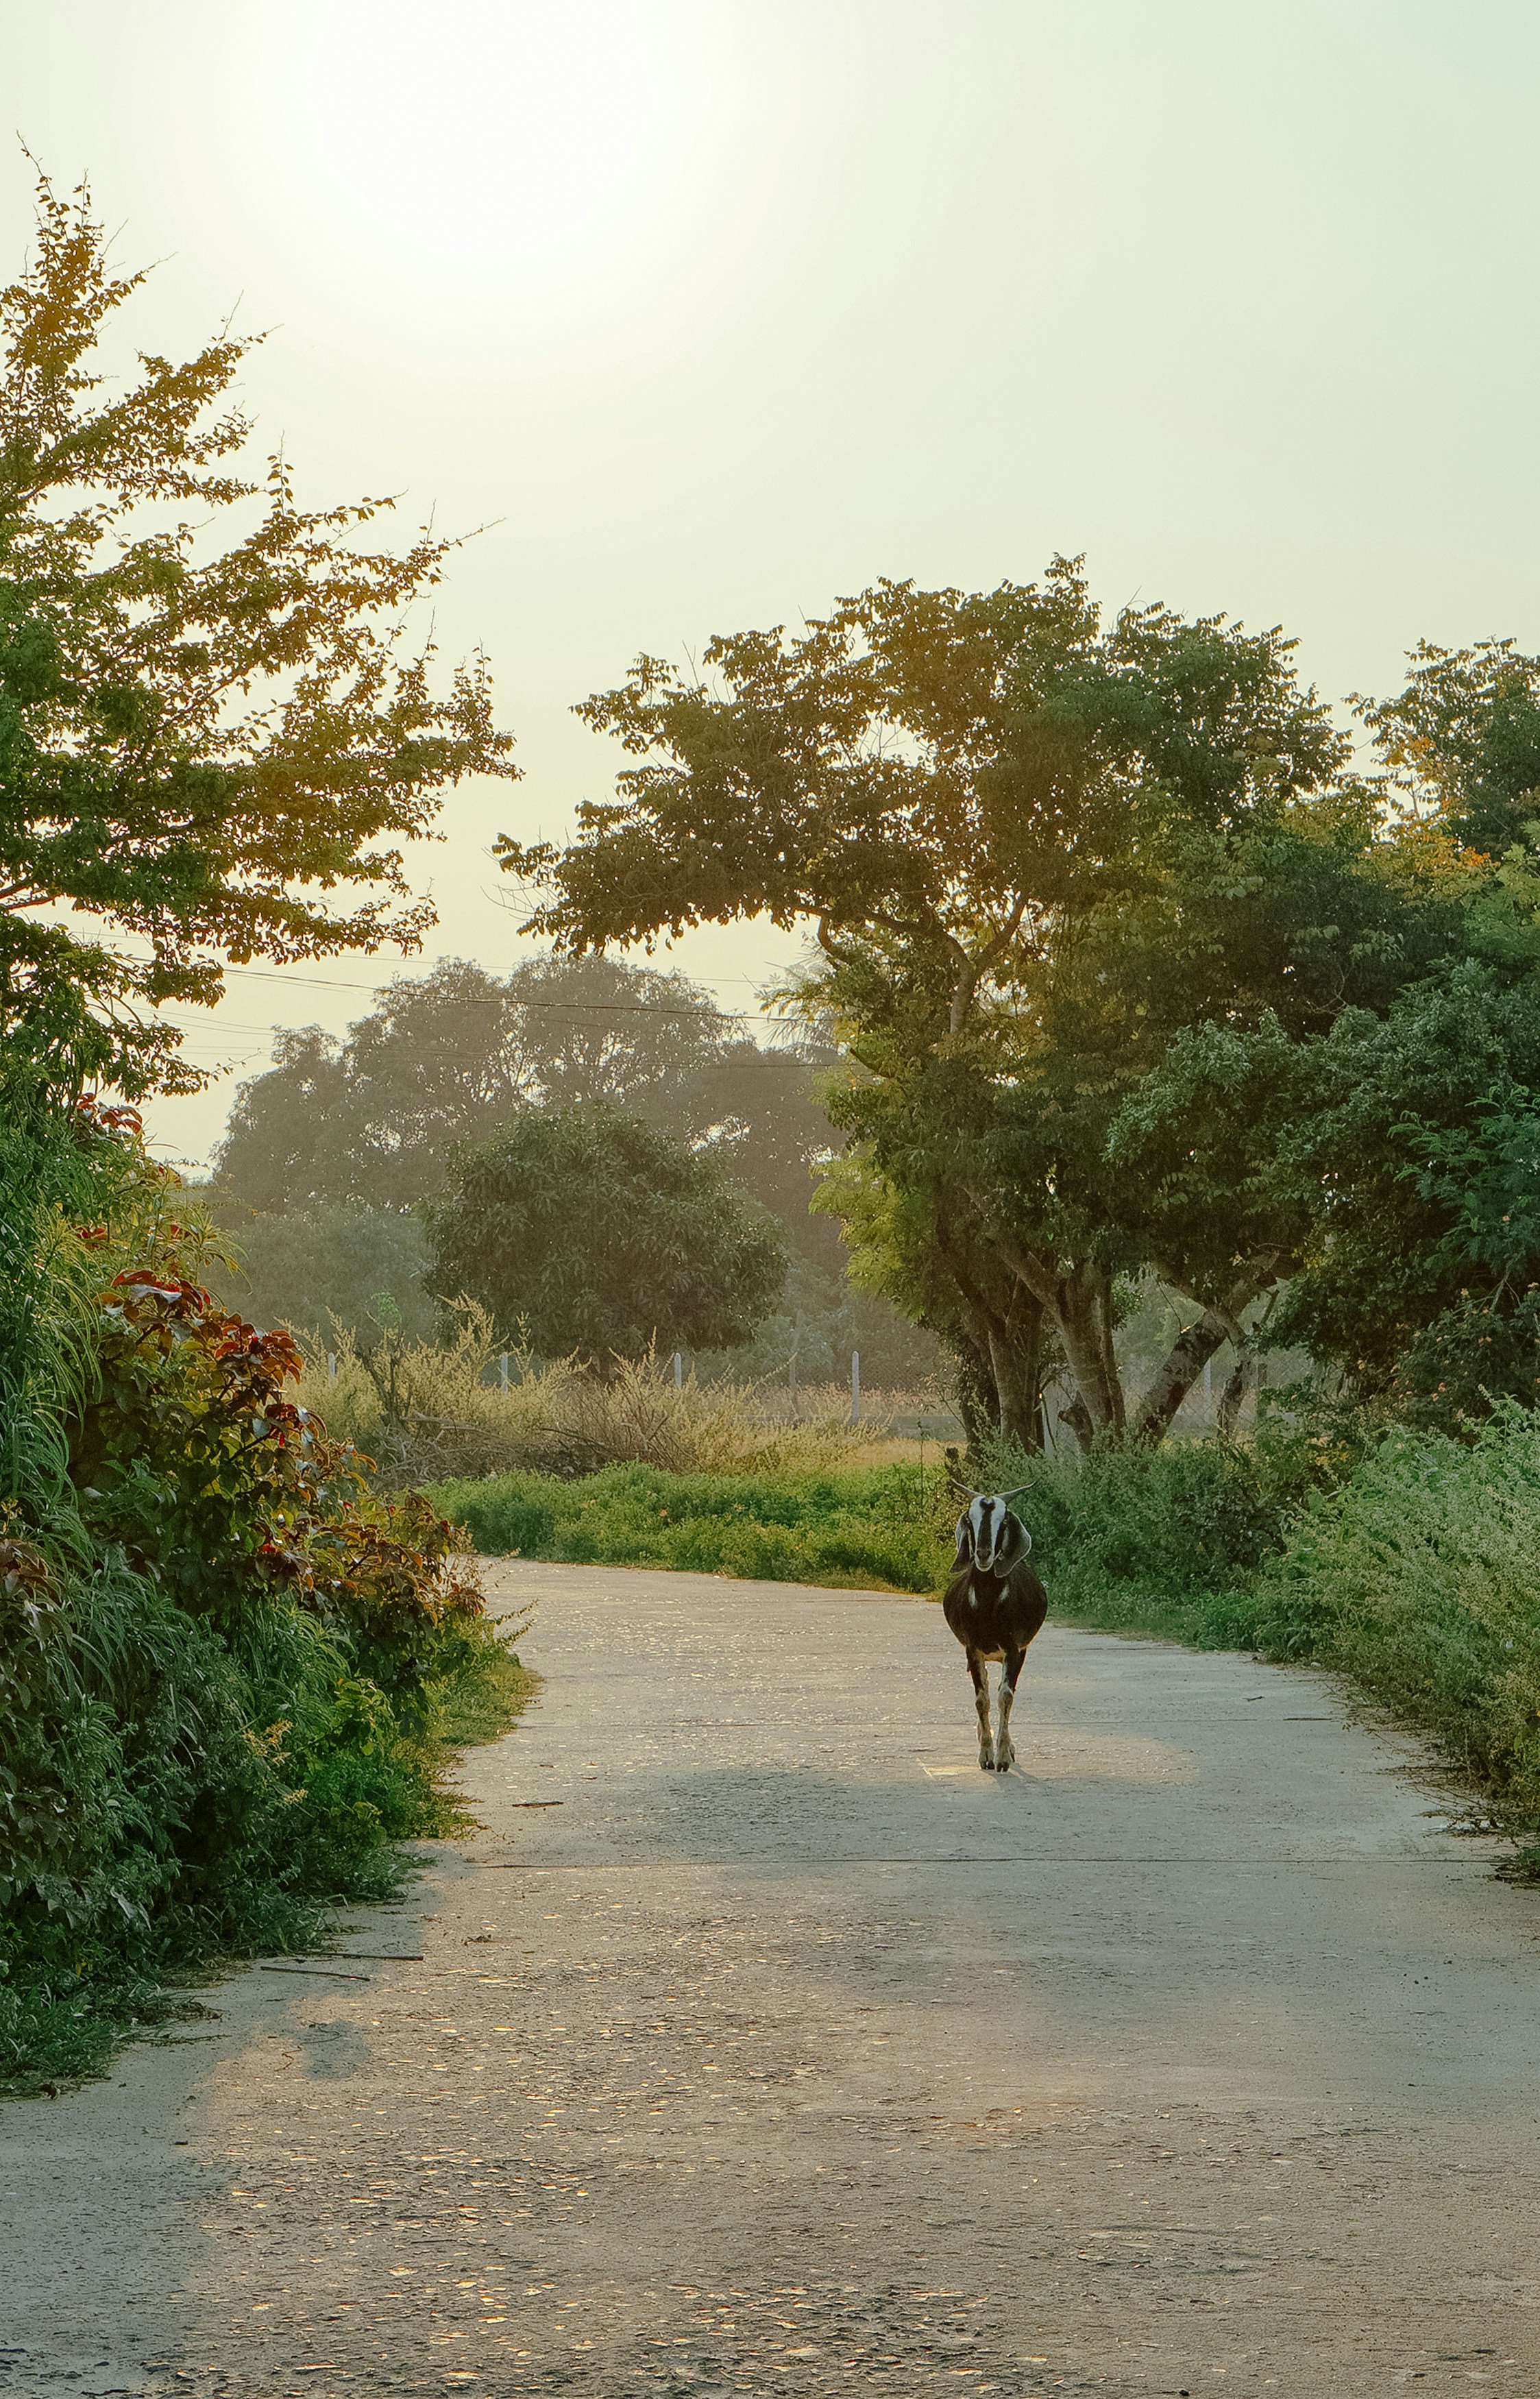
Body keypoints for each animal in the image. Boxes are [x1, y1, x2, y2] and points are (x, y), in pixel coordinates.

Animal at [943, 1484, 1048, 1771]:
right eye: (970, 1520)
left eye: (1004, 1521)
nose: (983, 1554)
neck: (988, 1603)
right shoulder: (972, 1648)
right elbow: (982, 1699)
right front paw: (986, 1755)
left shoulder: (1014, 1649)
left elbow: (1006, 1696)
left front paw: (1002, 1757)